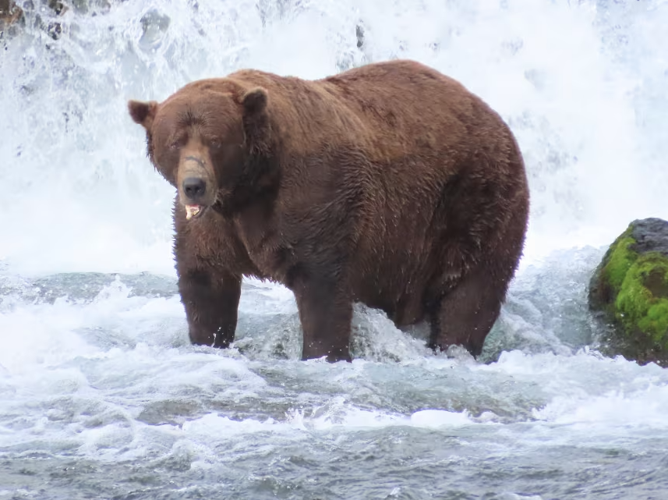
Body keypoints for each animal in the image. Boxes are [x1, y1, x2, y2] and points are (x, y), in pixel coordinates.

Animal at [128, 59, 530, 362]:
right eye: (175, 141)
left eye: (215, 140)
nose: (194, 184)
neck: (249, 187)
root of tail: (494, 116)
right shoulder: (213, 225)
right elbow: (205, 281)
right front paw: (209, 340)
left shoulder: (316, 198)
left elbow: (322, 287)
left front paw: (324, 353)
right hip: (405, 247)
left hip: (474, 200)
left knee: (471, 291)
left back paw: (454, 346)